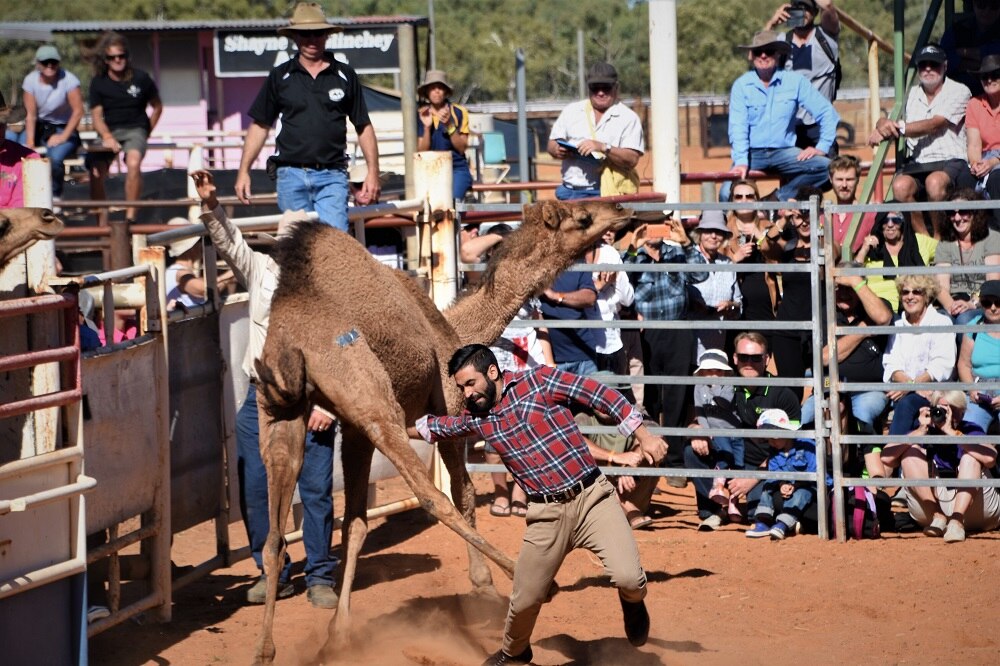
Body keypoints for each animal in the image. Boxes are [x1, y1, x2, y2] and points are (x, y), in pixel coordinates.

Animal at [251, 199, 634, 664]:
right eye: (582, 218)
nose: (621, 209)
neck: (456, 328)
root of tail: (293, 343)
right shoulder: (448, 408)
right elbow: (464, 494)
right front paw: (483, 585)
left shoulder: (353, 431)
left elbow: (355, 525)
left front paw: (338, 634)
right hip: (373, 401)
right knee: (432, 497)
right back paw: (528, 579)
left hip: (279, 414)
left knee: (273, 536)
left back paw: (265, 650)